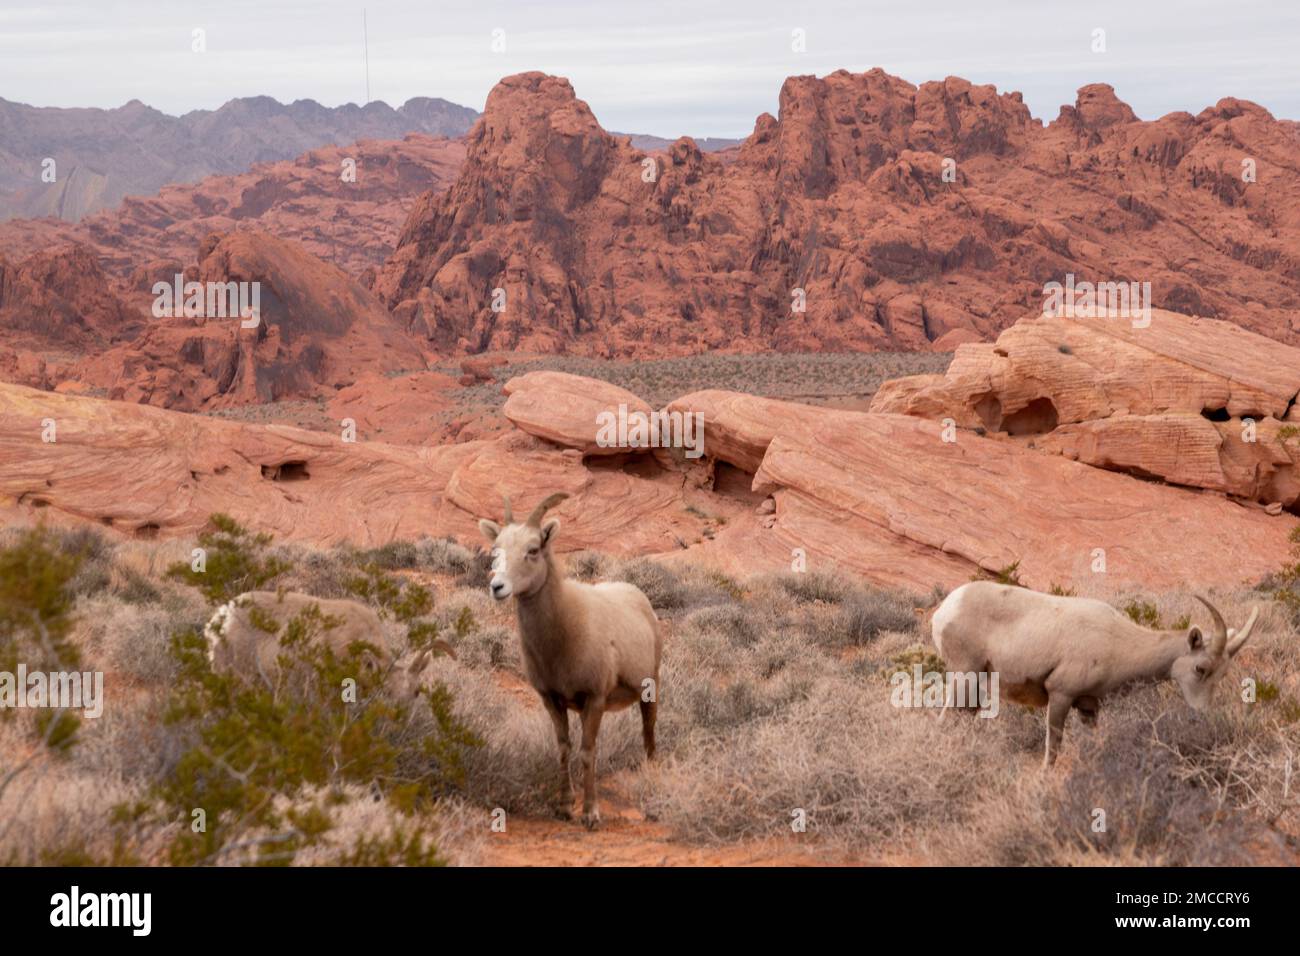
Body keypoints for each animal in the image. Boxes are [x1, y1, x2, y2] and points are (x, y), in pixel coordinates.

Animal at [479, 492, 662, 828]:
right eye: (496, 550)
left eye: (533, 550)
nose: (497, 587)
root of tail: (638, 597)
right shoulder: (553, 699)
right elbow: (564, 749)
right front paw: (564, 807)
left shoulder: (595, 698)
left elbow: (588, 752)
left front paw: (590, 814)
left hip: (650, 688)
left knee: (648, 731)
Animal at [931, 581, 1260, 767]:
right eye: (1200, 668)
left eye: (1222, 674)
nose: (1201, 714)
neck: (1117, 641)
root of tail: (946, 609)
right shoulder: (1060, 696)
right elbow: (1053, 749)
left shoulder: (1089, 707)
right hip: (964, 676)